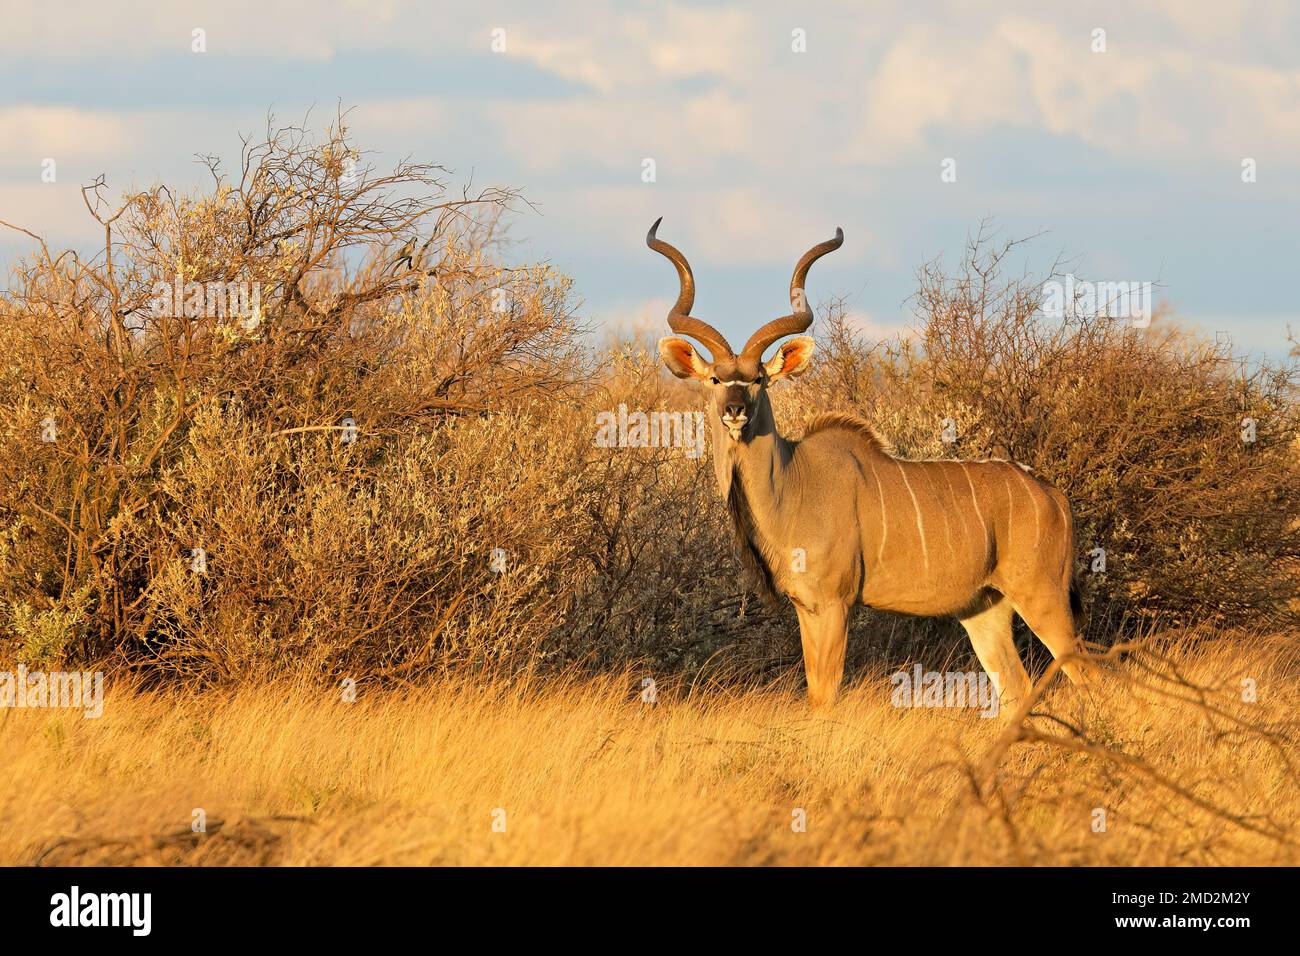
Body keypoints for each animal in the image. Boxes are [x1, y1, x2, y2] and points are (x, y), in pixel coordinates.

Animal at [647, 218, 1097, 714]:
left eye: (759, 379)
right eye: (714, 378)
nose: (735, 410)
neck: (794, 483)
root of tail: (1052, 494)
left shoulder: (834, 604)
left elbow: (824, 693)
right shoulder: (806, 607)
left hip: (1043, 597)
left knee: (1093, 675)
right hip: (985, 609)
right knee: (1015, 688)